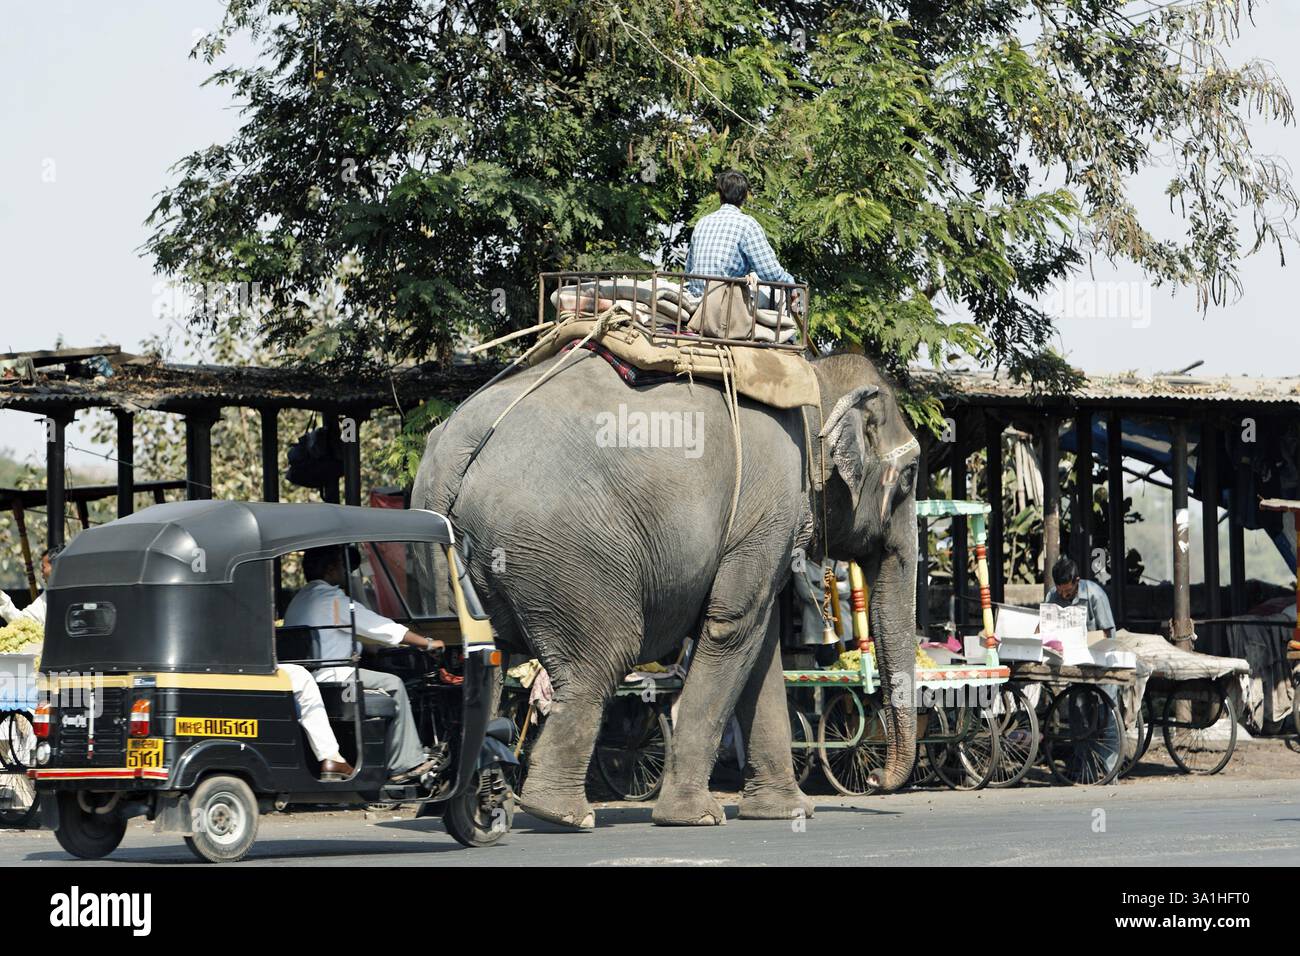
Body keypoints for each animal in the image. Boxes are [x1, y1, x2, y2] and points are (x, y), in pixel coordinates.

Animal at [410, 348, 920, 827]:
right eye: (912, 473)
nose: (876, 778)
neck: (812, 380)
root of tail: (454, 450)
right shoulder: (771, 504)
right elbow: (732, 628)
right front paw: (697, 816)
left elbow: (762, 645)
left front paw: (786, 812)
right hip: (564, 553)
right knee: (602, 657)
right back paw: (561, 813)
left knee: (483, 668)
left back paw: (474, 804)